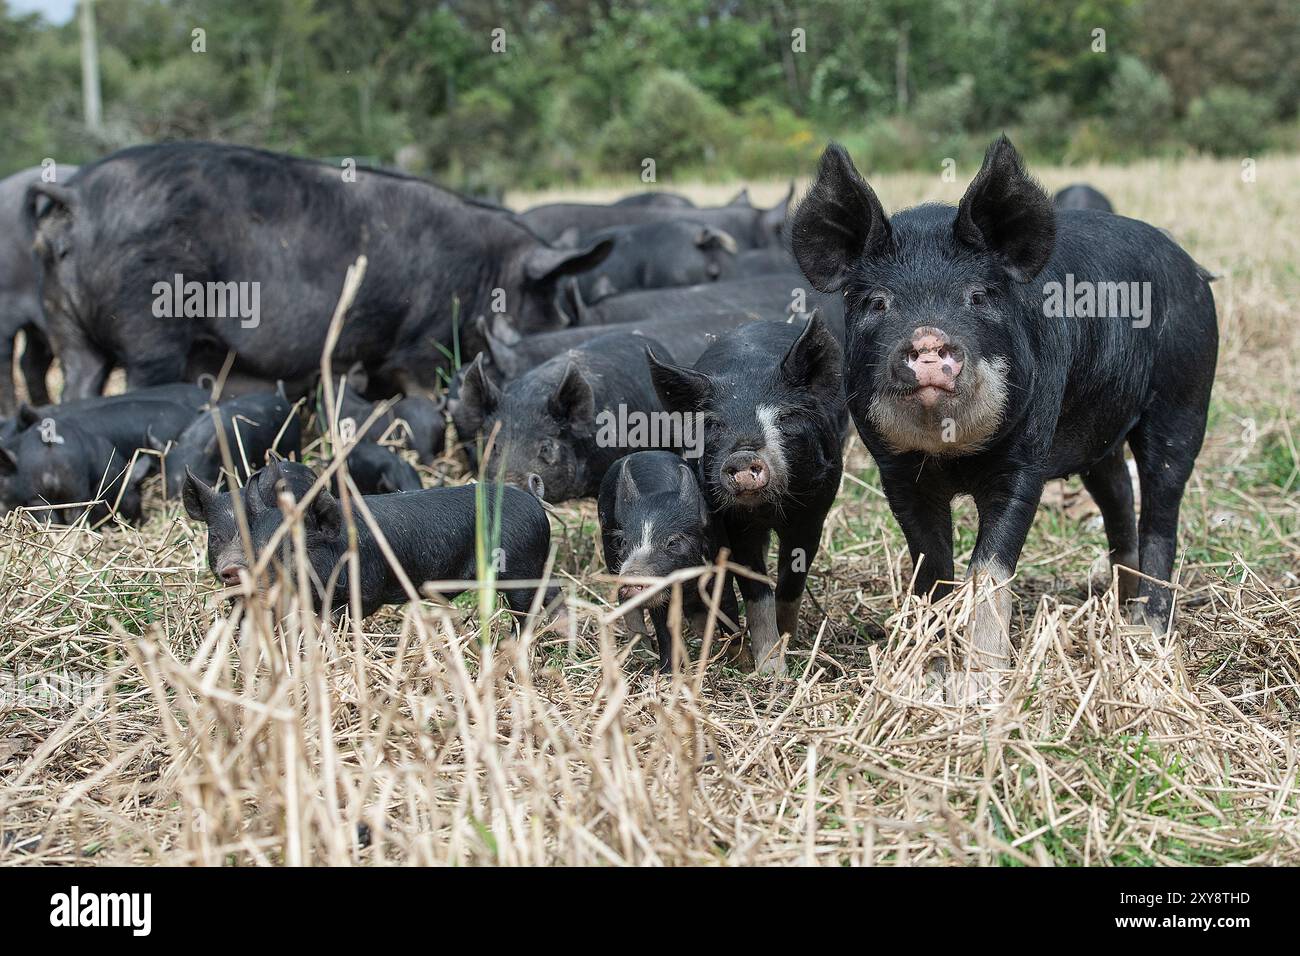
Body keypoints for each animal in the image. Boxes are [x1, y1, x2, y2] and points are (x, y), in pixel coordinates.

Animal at [26, 142, 612, 400]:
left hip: (66, 322)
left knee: (78, 386)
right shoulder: (420, 343)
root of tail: (76, 197)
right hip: (149, 320)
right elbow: (421, 386)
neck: (488, 274)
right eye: (555, 310)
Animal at [183, 460, 558, 619]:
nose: (234, 569)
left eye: (289, 548)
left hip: (521, 566)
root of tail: (533, 498)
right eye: (216, 536)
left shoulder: (364, 593)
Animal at [598, 451, 739, 672]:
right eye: (624, 541)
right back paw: (641, 654)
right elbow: (665, 633)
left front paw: (744, 665)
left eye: (673, 542)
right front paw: (666, 672)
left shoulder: (721, 573)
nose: (631, 576)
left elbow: (730, 617)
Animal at [647, 313, 848, 675]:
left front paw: (788, 645)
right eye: (714, 424)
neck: (767, 510)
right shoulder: (733, 522)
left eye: (785, 417)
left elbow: (791, 583)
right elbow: (756, 589)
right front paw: (769, 669)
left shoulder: (813, 514)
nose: (741, 456)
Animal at [789, 136, 1217, 686]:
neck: (951, 453)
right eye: (878, 302)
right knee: (1119, 495)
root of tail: (1194, 270)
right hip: (1098, 431)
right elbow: (932, 570)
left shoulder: (1025, 460)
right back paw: (1117, 609)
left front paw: (981, 682)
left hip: (1184, 397)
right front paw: (929, 672)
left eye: (977, 297)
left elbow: (989, 569)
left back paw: (1147, 632)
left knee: (1163, 505)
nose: (927, 340)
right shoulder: (897, 471)